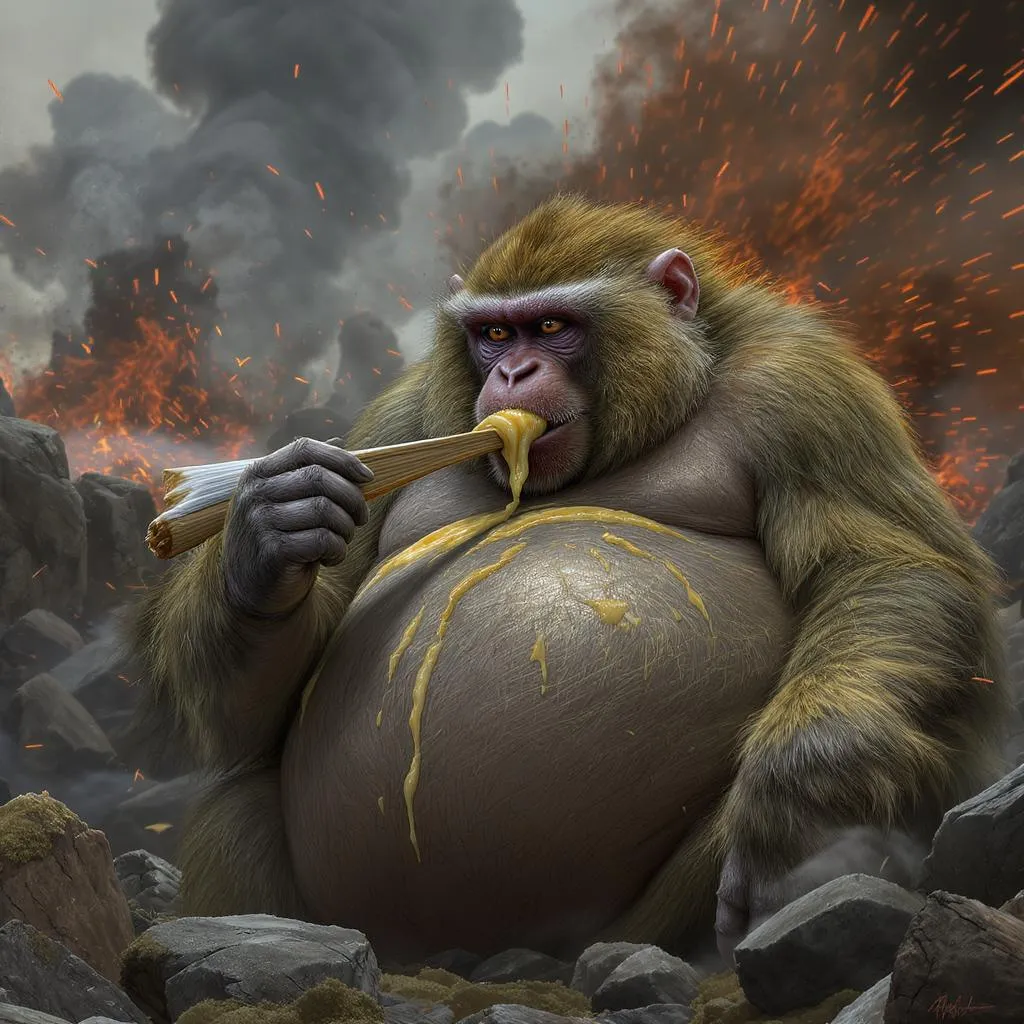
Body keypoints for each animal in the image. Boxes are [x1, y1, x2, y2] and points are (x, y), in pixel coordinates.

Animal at [127, 194, 1008, 965]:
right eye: (492, 334)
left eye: (551, 326)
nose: (513, 374)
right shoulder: (406, 416)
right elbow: (258, 721)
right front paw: (266, 539)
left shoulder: (802, 386)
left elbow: (889, 570)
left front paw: (803, 794)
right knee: (242, 797)